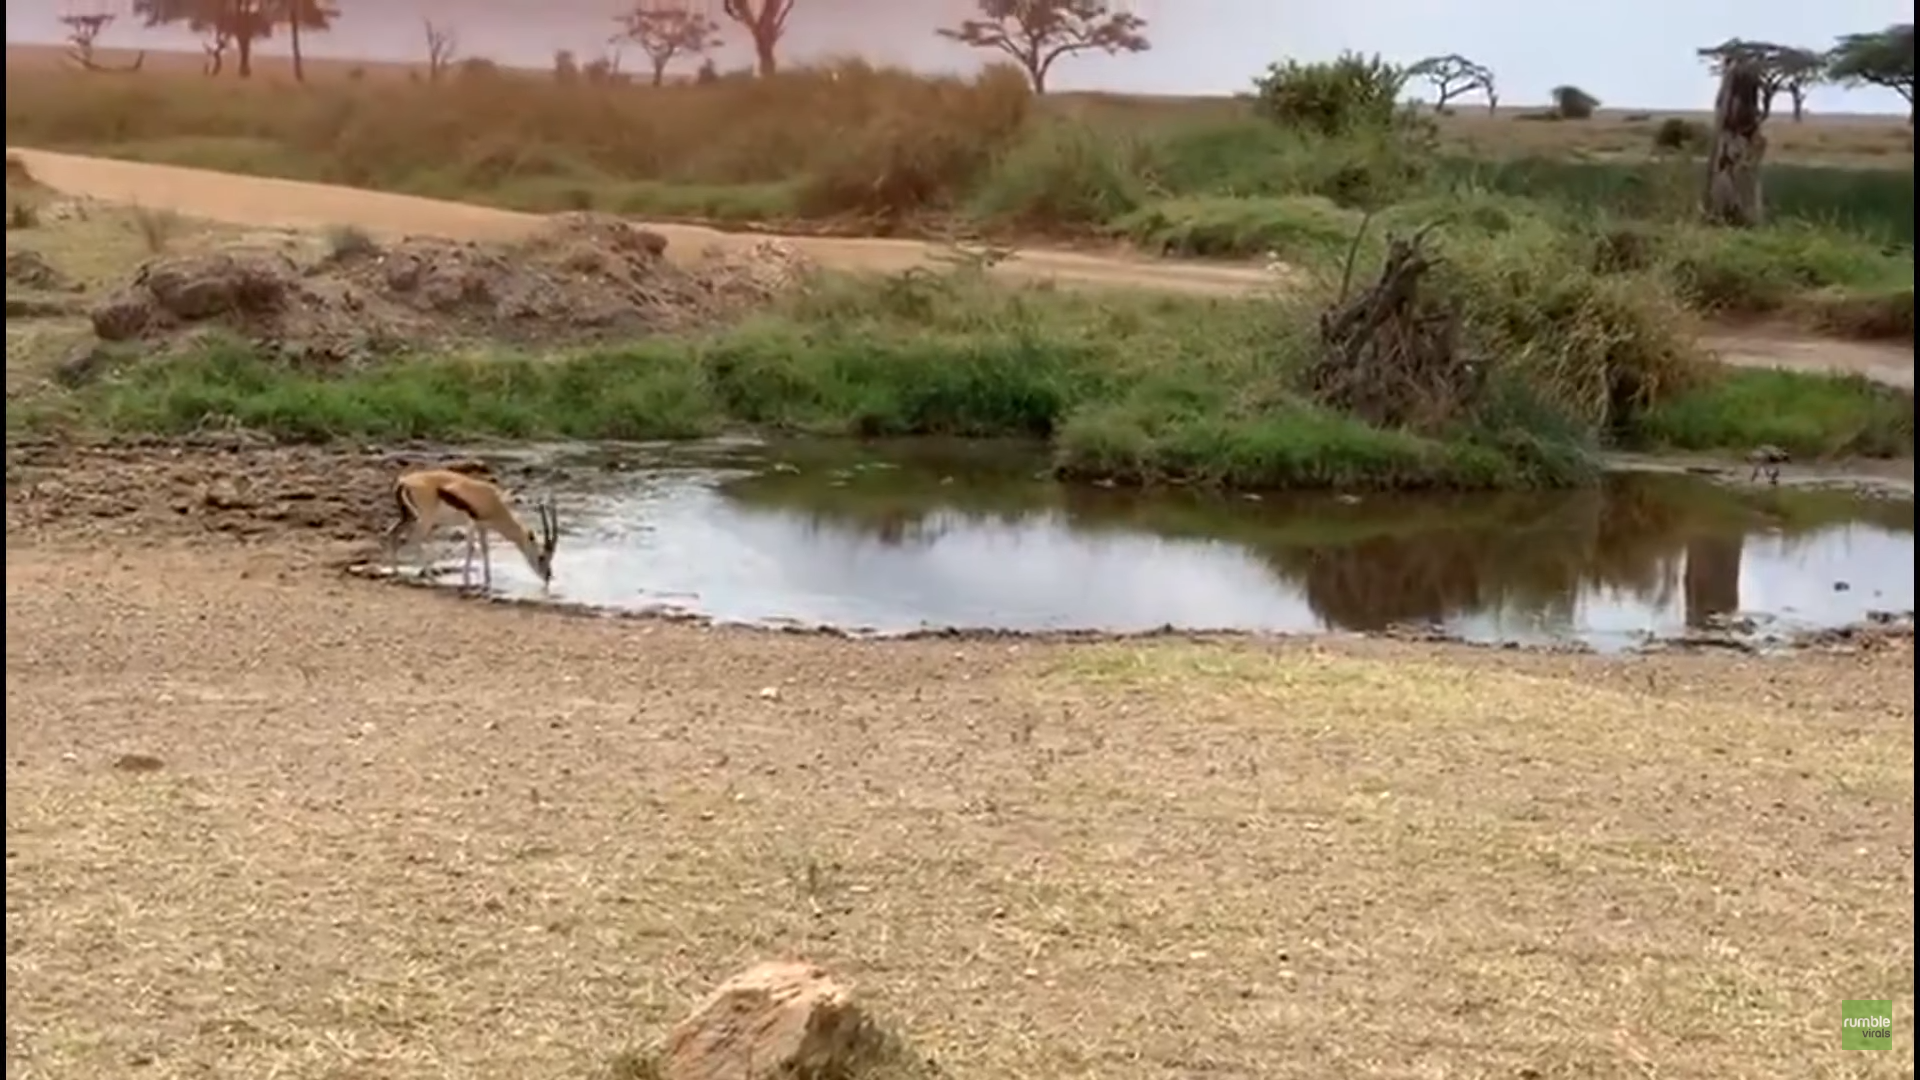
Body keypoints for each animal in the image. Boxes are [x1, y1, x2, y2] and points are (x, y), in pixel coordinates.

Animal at [386, 468, 560, 590]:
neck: (493, 501)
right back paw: (431, 577)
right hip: (424, 520)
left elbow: (485, 549)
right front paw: (467, 581)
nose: (547, 577)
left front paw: (488, 581)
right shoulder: (472, 524)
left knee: (393, 532)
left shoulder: (483, 527)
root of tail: (405, 480)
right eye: (542, 556)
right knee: (415, 539)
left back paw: (396, 572)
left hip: (408, 517)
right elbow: (471, 548)